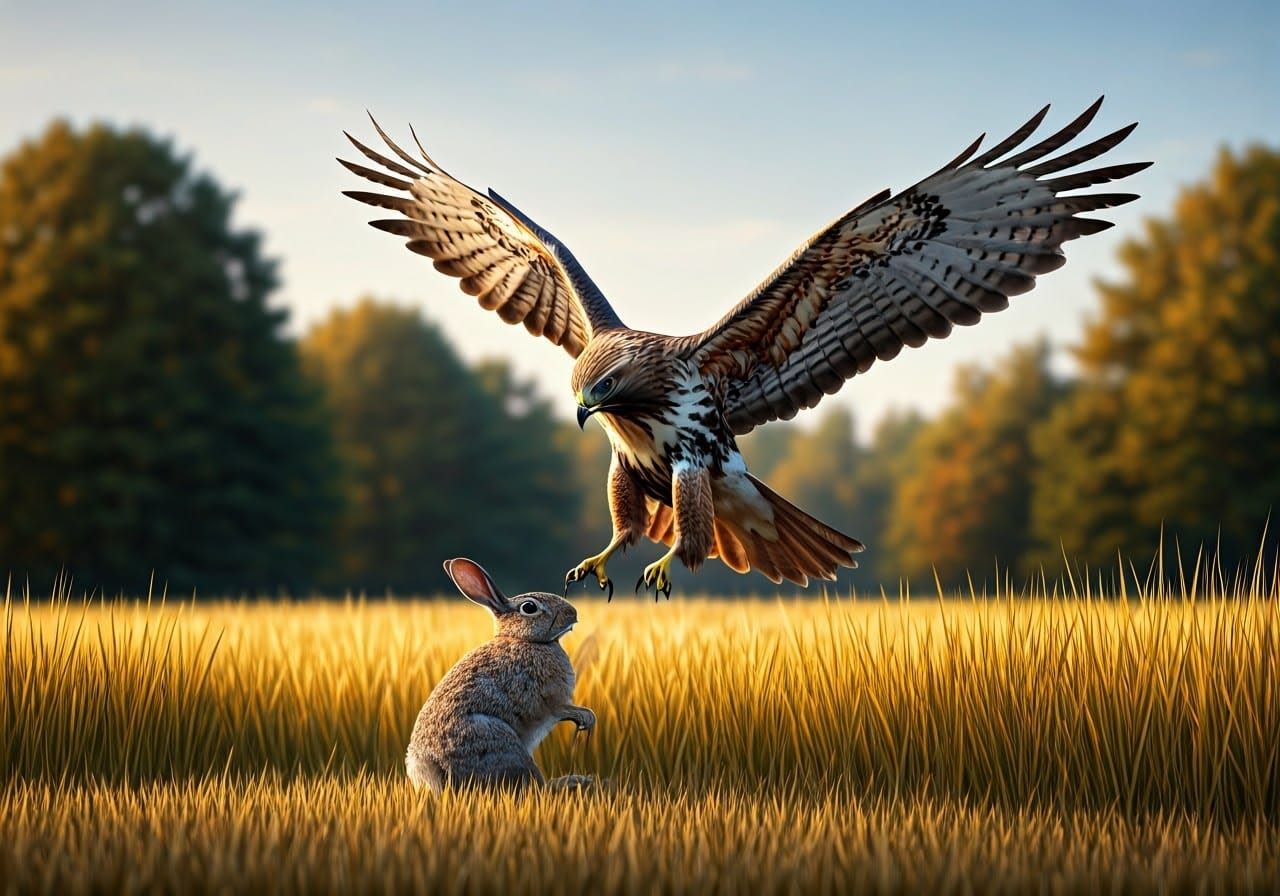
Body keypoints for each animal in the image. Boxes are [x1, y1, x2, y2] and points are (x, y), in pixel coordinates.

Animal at [405, 558, 597, 793]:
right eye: (529, 607)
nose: (573, 614)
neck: (523, 639)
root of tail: (430, 768)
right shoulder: (553, 700)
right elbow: (563, 709)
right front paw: (587, 718)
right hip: (501, 741)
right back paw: (573, 782)